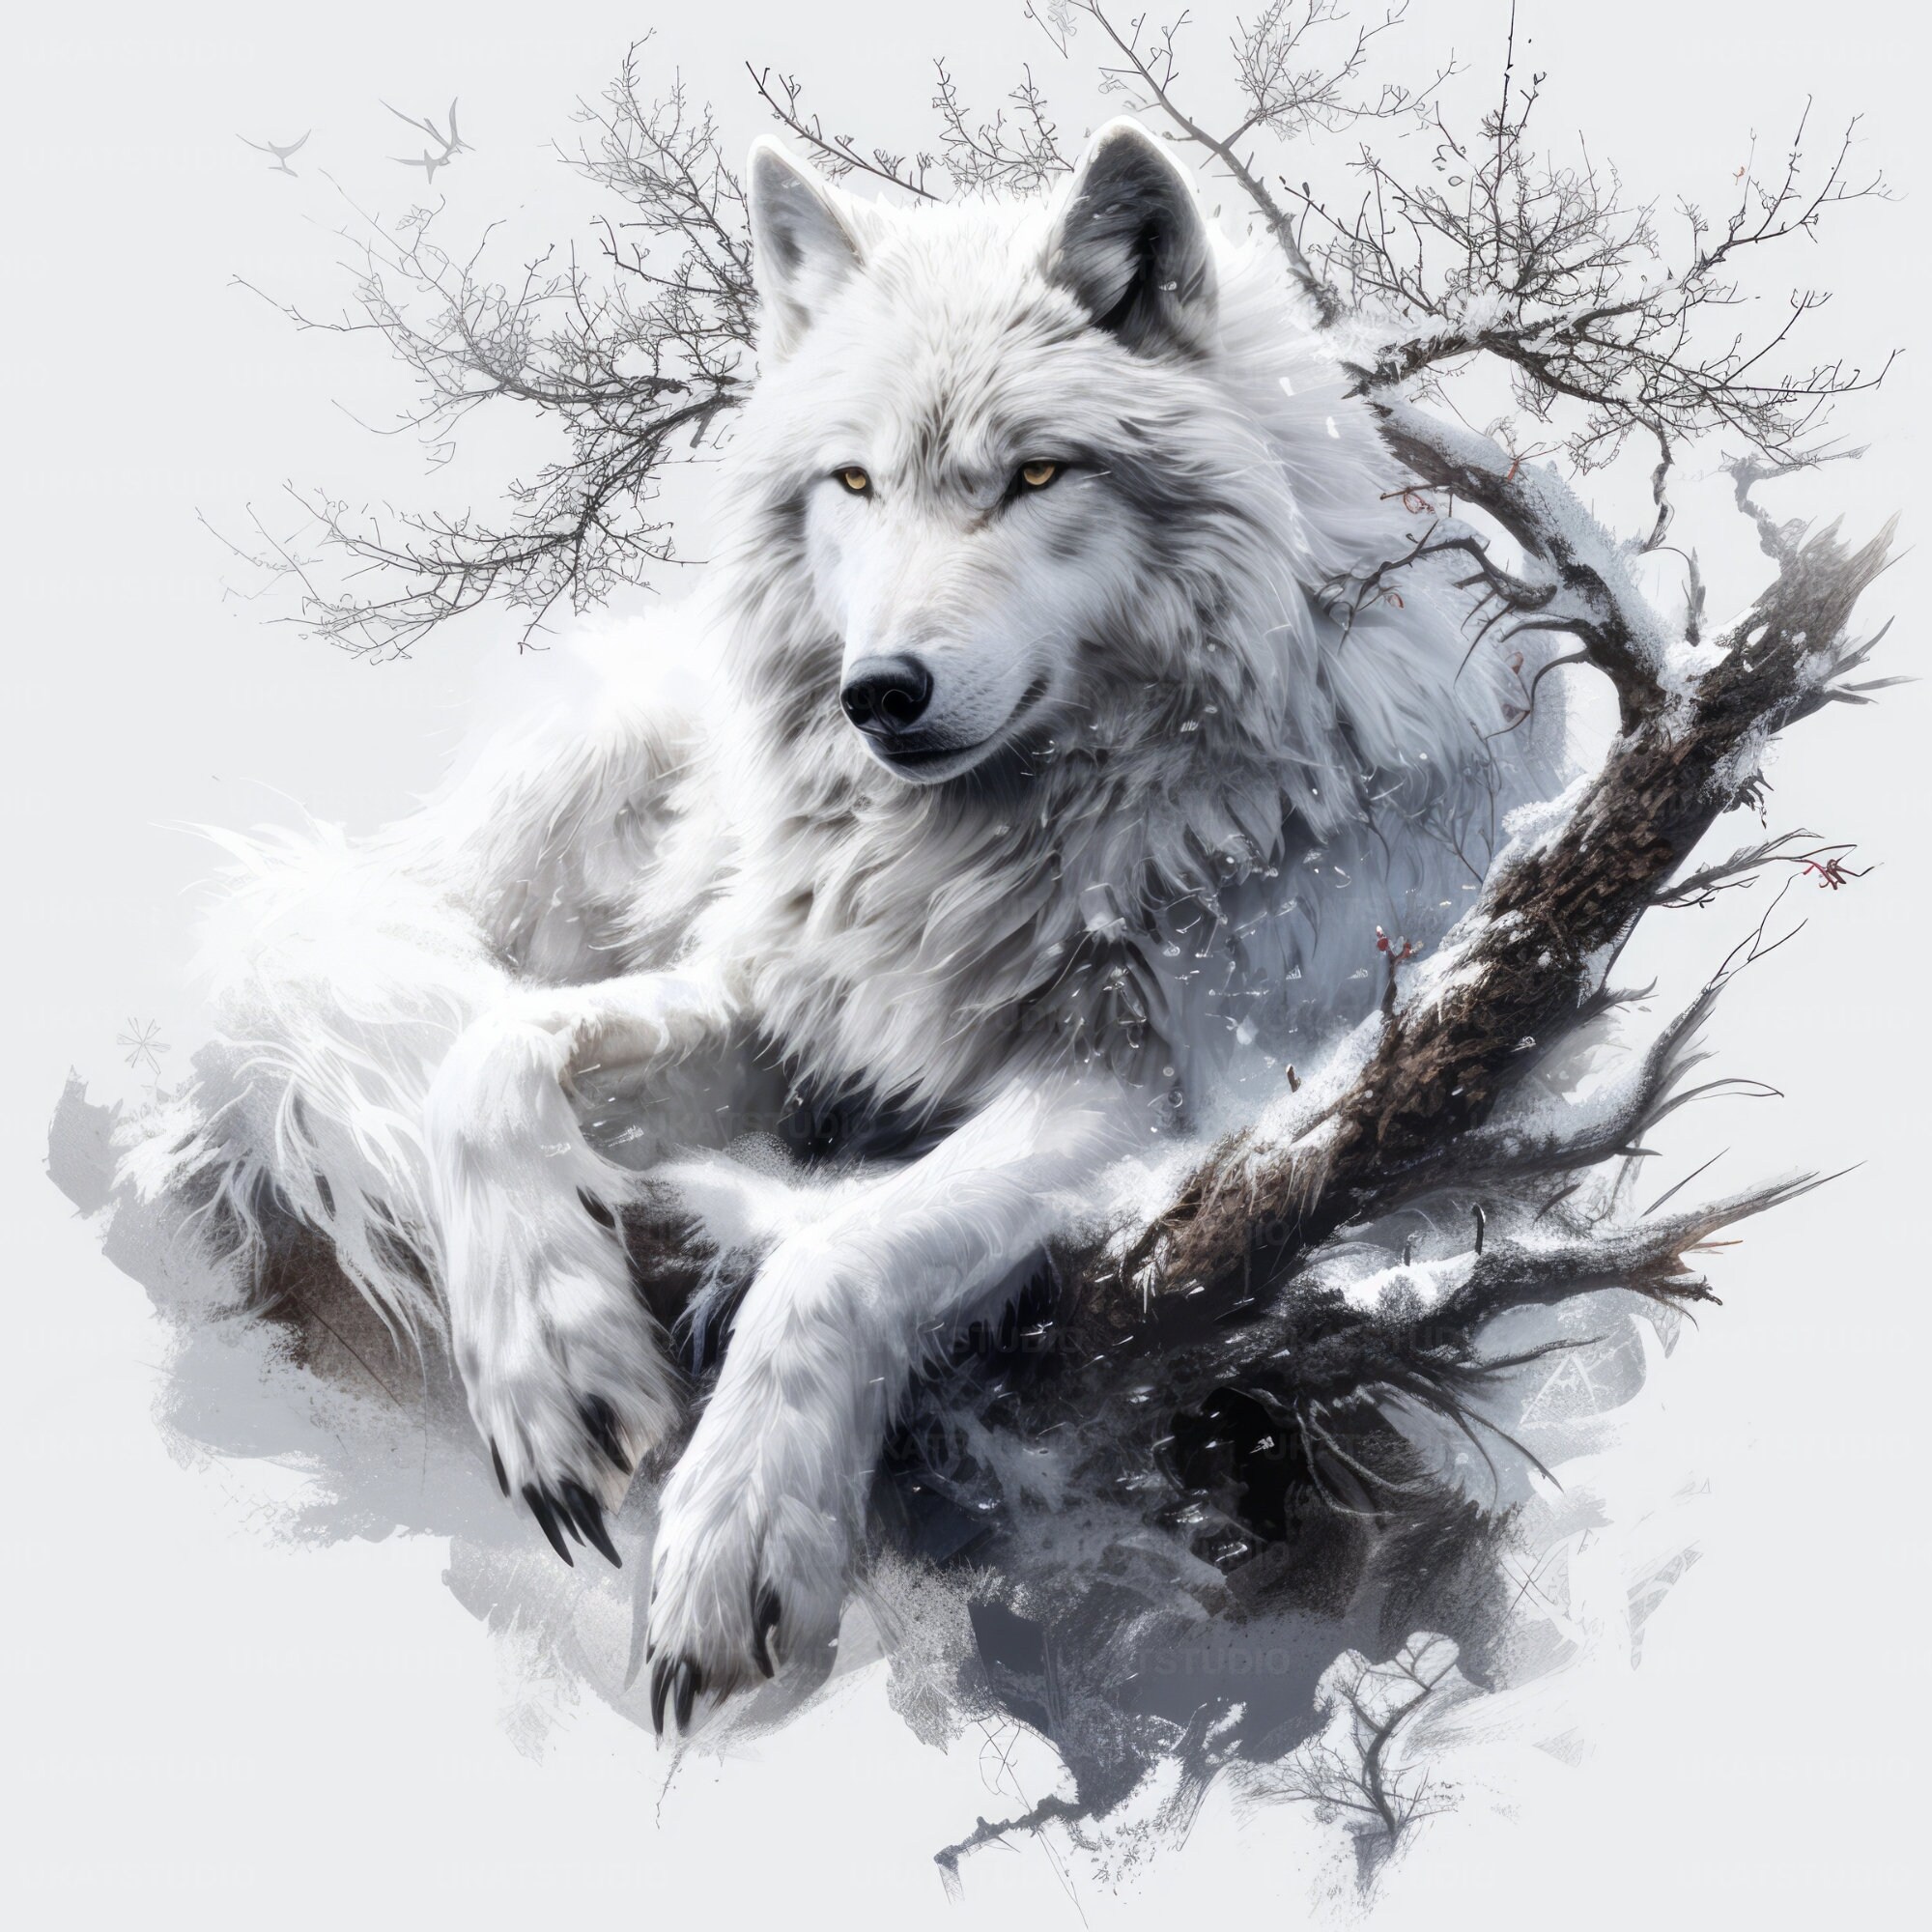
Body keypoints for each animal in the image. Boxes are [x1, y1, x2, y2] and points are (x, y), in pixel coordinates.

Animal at [133, 121, 1555, 1733]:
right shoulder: (794, 1009)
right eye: (857, 480)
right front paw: (554, 1367)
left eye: (1037, 473)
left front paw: (735, 1534)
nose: (879, 692)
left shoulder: (1171, 1095)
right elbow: (492, 1056)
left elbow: (839, 1254)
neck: (1002, 853)